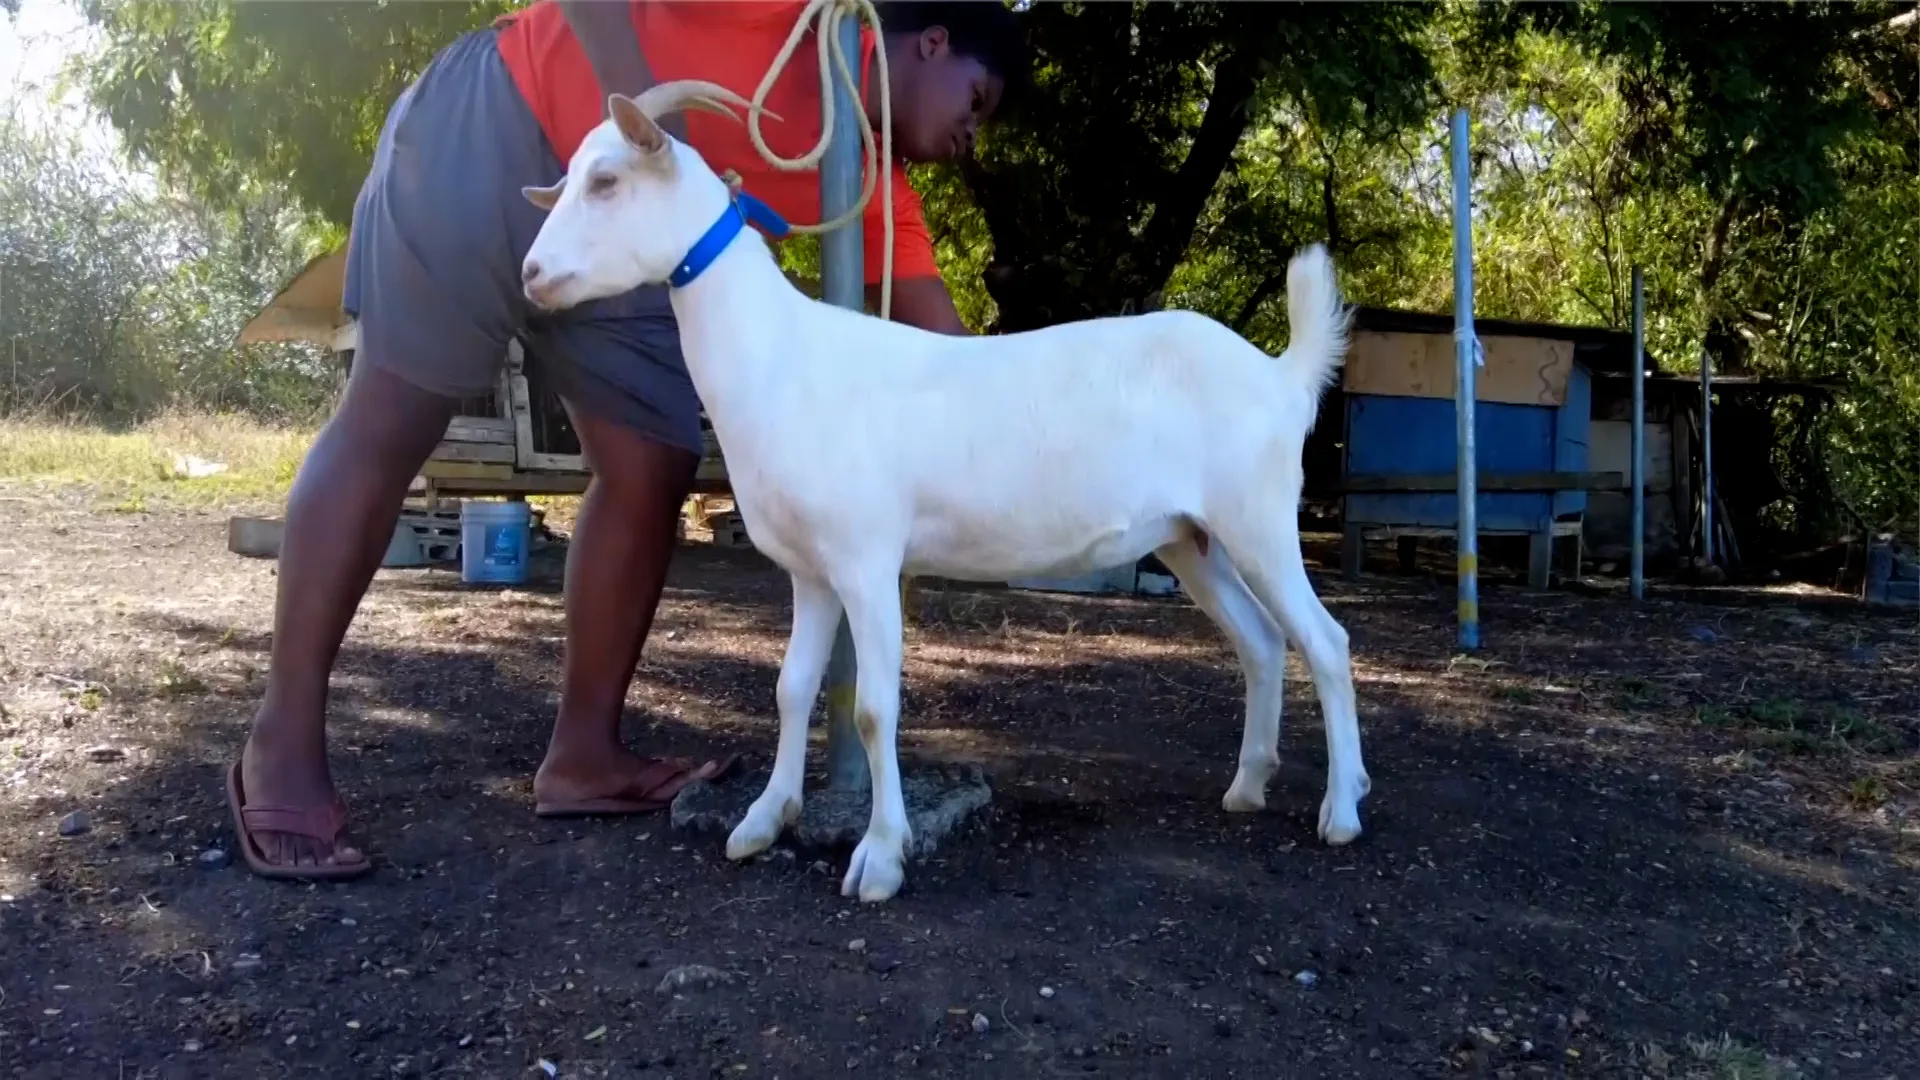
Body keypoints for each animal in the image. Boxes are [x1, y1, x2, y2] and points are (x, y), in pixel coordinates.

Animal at [520, 82, 1370, 903]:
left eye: (605, 181)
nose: (531, 274)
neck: (783, 358)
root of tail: (1282, 375)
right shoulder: (808, 570)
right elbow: (791, 689)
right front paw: (763, 819)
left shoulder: (866, 558)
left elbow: (872, 707)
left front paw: (880, 857)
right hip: (1191, 536)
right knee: (1262, 641)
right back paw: (1249, 786)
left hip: (1258, 516)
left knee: (1326, 641)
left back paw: (1342, 811)